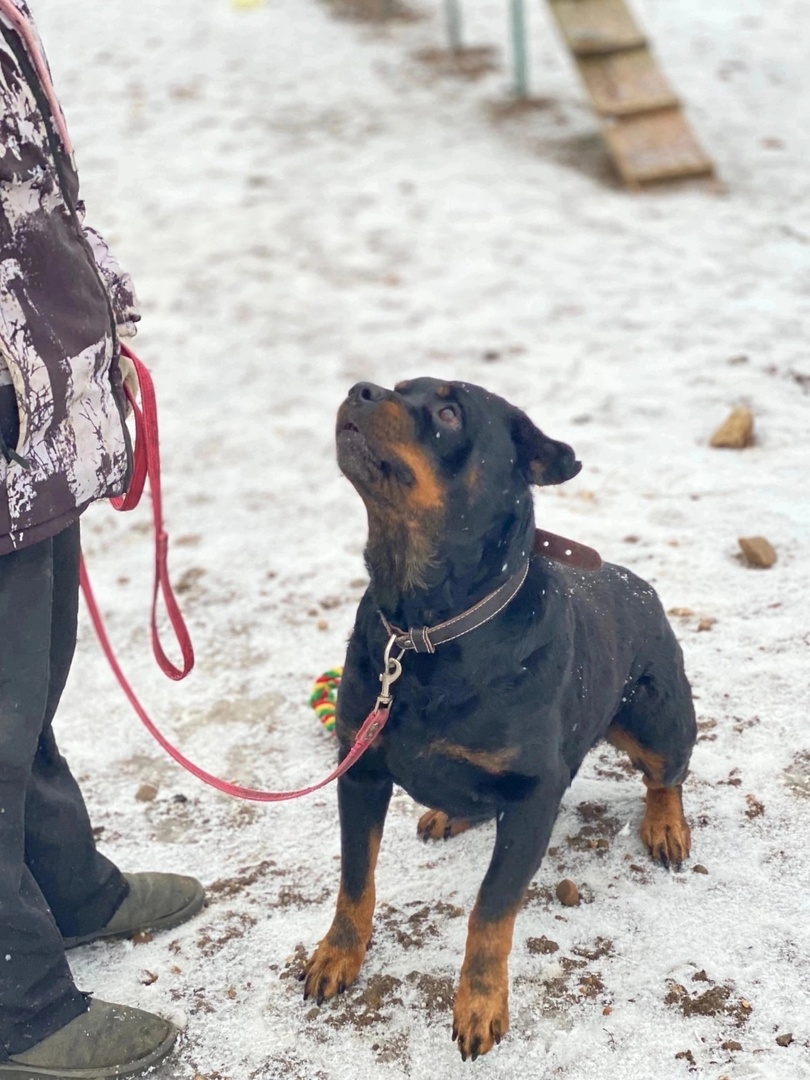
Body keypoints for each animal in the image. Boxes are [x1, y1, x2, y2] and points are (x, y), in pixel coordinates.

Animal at [304, 378, 699, 1054]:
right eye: (398, 386)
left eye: (448, 411)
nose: (361, 389)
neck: (424, 630)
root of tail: (640, 585)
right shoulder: (359, 768)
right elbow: (355, 878)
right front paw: (338, 955)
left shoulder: (534, 792)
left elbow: (491, 907)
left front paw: (480, 1003)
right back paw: (449, 813)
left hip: (656, 717)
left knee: (665, 775)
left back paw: (666, 825)